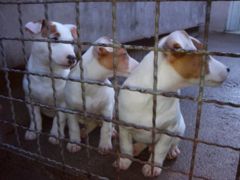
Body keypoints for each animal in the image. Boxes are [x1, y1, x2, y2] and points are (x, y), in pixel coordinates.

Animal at [113, 30, 230, 176]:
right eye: (205, 56)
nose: (228, 69)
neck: (154, 98)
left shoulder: (169, 130)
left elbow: (160, 149)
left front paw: (152, 166)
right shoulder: (123, 126)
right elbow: (125, 146)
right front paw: (124, 160)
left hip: (180, 128)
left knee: (171, 143)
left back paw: (171, 150)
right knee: (144, 143)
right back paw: (138, 147)